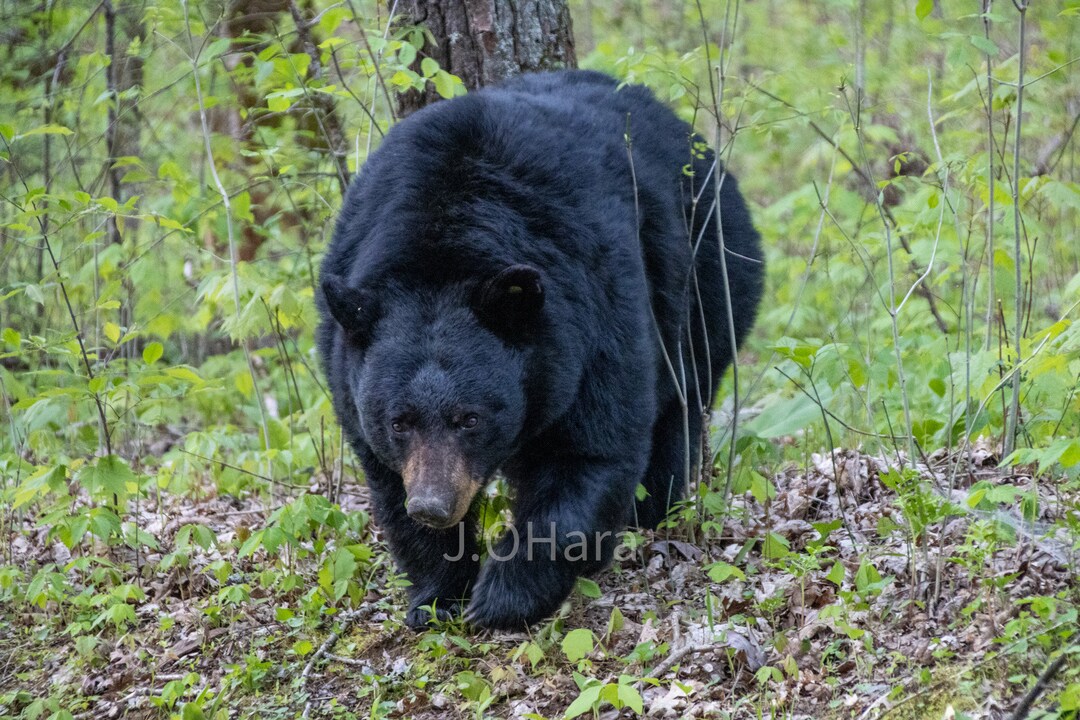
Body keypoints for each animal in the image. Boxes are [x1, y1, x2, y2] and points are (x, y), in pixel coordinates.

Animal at [317, 69, 764, 630]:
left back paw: (652, 513)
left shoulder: (591, 312)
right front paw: (438, 595)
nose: (433, 505)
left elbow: (590, 452)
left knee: (681, 408)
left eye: (470, 418)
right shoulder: (348, 366)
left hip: (710, 281)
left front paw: (501, 598)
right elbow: (387, 481)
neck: (443, 237)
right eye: (399, 421)